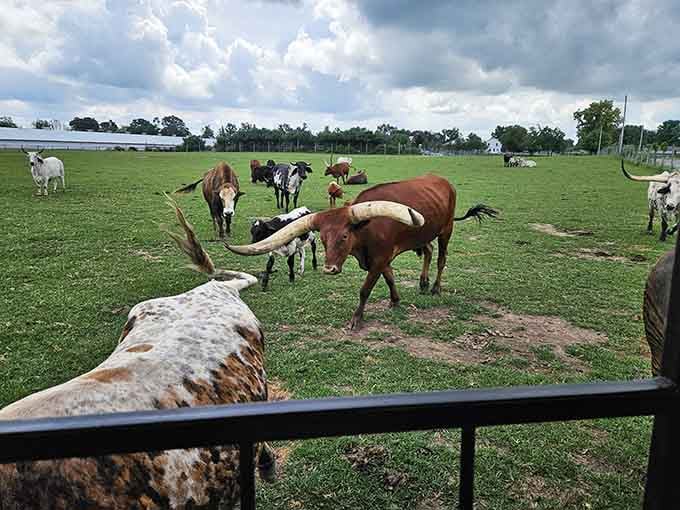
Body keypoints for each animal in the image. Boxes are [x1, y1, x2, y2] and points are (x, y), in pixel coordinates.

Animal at [227, 174, 498, 329]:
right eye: (323, 238)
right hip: (423, 234)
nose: (329, 269)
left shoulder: (379, 259)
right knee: (429, 251)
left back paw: (435, 287)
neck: (366, 231)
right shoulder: (381, 260)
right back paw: (422, 282)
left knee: (441, 258)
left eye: (344, 236)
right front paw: (395, 300)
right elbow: (390, 279)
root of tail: (443, 181)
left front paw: (357, 319)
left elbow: (365, 289)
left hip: (446, 229)